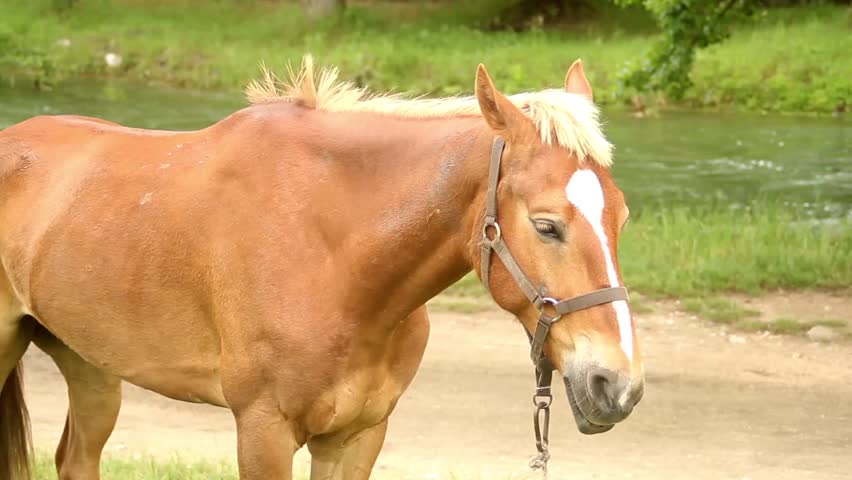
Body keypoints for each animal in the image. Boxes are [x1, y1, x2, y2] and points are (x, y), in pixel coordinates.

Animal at [0, 56, 644, 480]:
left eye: (622, 218)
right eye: (546, 225)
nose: (618, 385)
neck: (333, 260)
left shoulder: (357, 436)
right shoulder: (263, 431)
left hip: (90, 366)